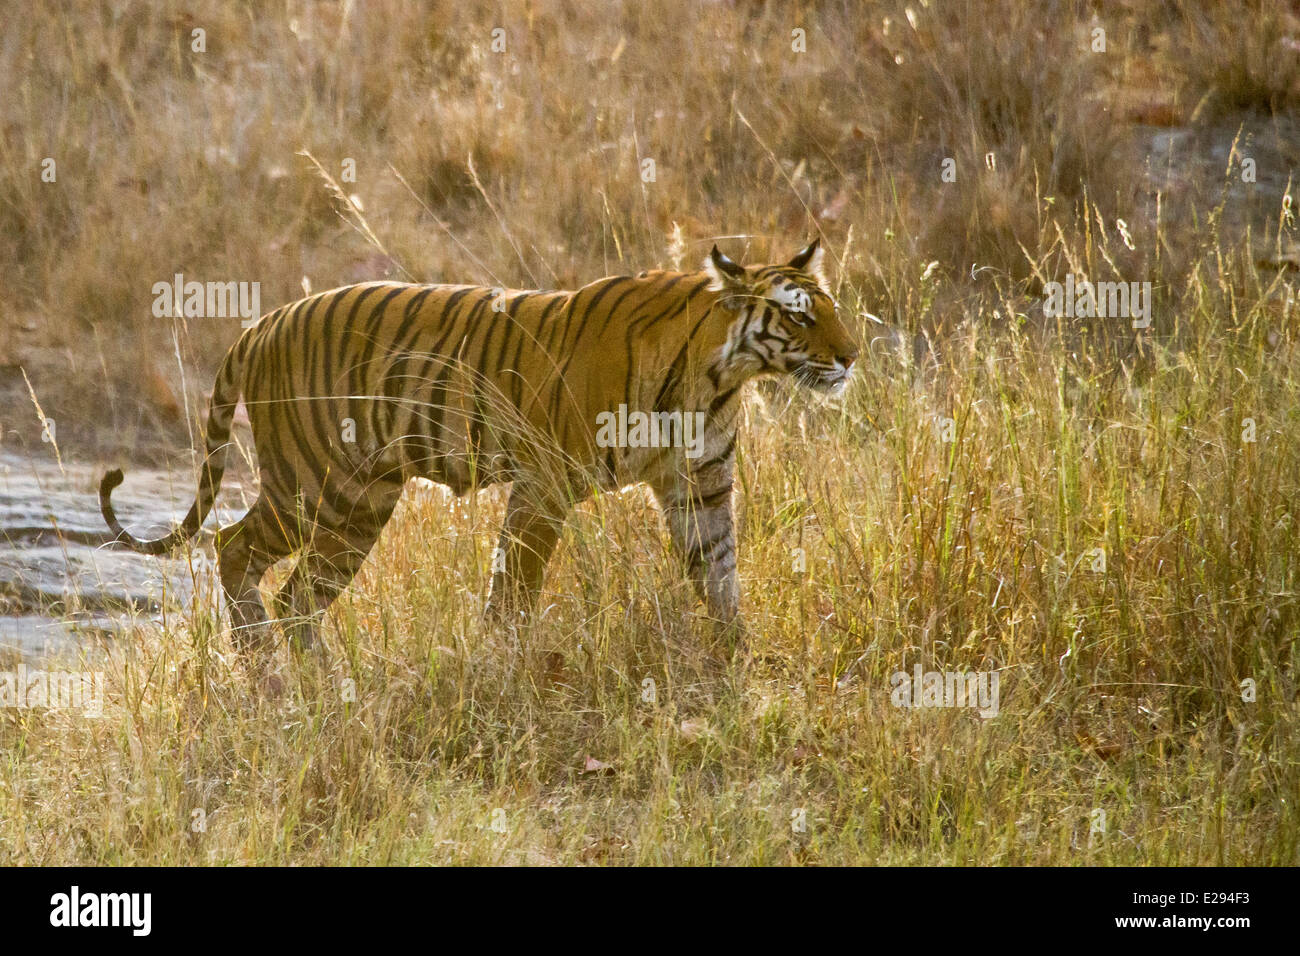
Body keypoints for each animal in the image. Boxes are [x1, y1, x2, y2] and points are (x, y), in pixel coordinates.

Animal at [99, 239, 859, 650]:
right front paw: (504, 662)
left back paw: (303, 685)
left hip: (358, 499)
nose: (852, 357)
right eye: (799, 317)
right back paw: (268, 674)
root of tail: (260, 323)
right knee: (238, 553)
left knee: (289, 591)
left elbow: (722, 579)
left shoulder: (700, 488)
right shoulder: (545, 486)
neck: (719, 376)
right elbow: (512, 590)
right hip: (316, 483)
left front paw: (737, 665)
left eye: (834, 309)